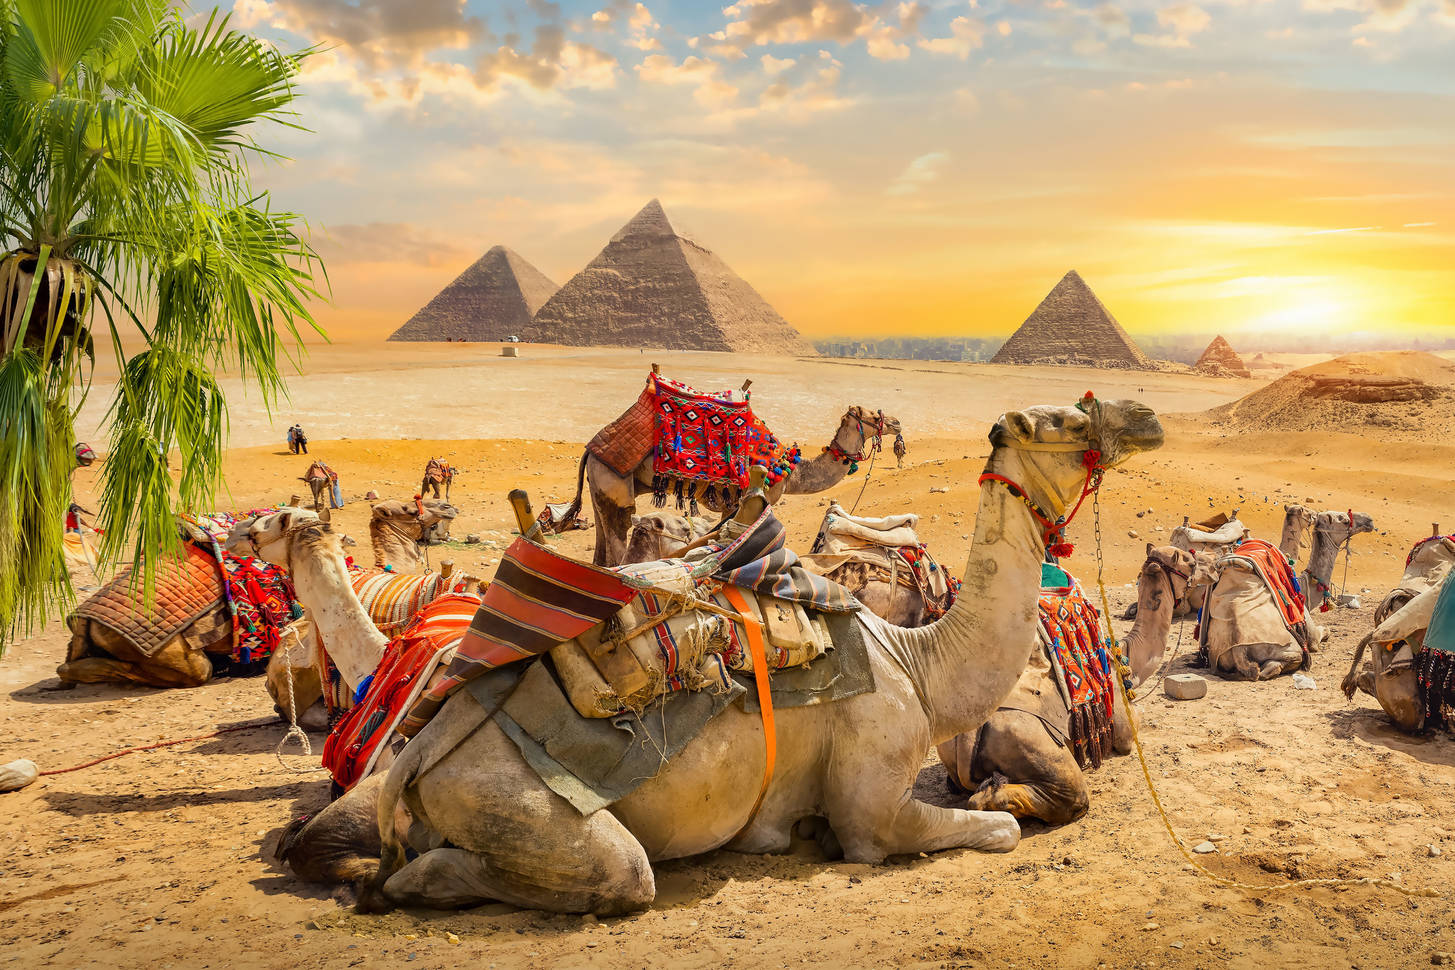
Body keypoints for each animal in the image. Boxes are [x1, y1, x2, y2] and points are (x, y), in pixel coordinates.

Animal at [568, 405, 902, 566]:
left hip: (599, 487)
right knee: (618, 537)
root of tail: (591, 449)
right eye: (871, 414)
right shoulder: (749, 498)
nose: (896, 422)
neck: (791, 471)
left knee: (601, 543)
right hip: (614, 482)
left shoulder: (728, 505)